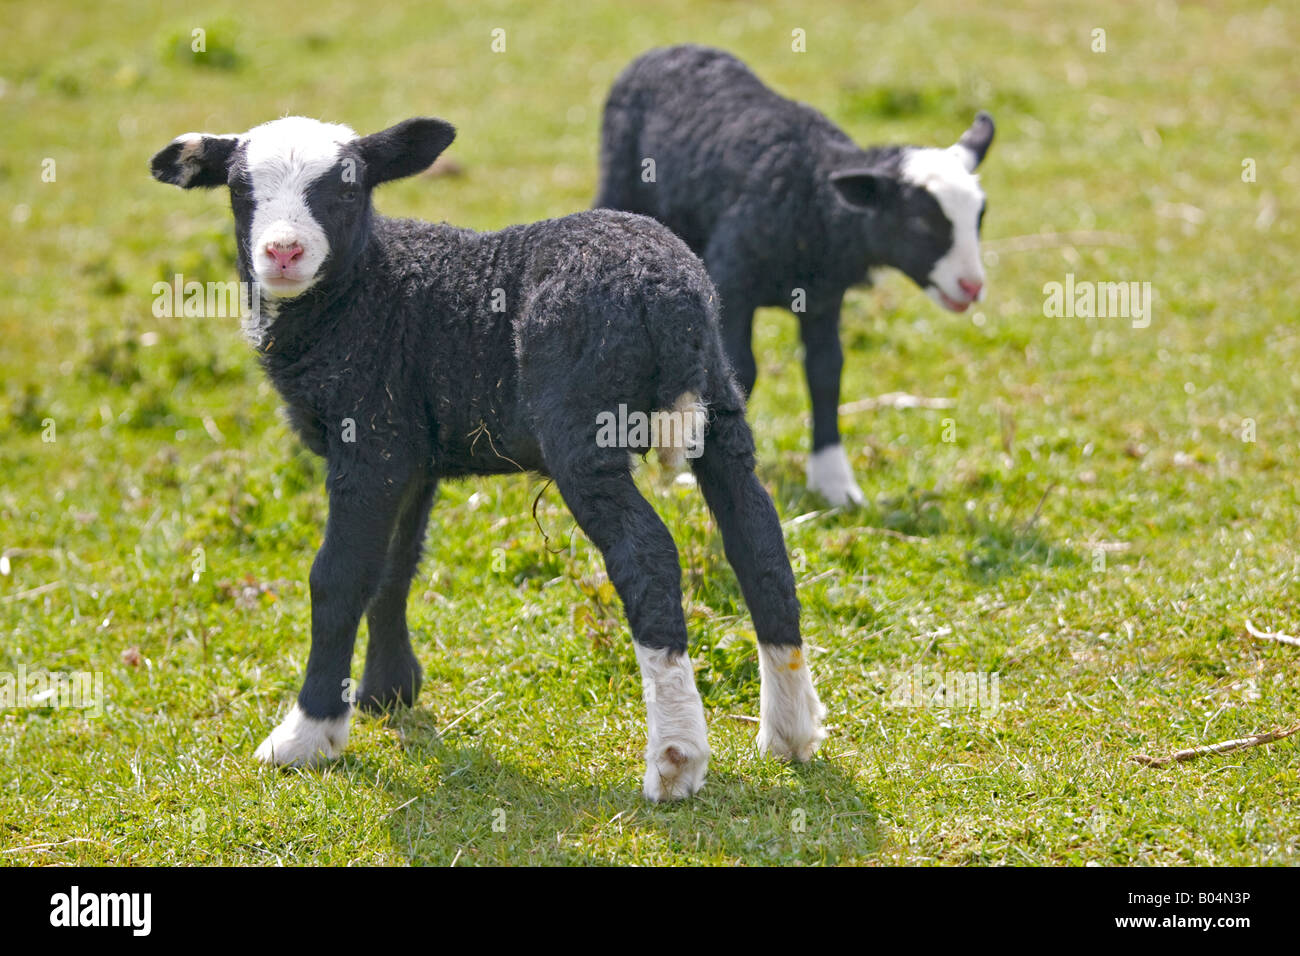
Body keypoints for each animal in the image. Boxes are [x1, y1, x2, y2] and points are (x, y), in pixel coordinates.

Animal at [149, 115, 825, 801]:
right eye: (239, 191)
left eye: (348, 189)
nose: (283, 253)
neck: (371, 292)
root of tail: (668, 292)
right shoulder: (410, 453)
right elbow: (393, 567)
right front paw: (386, 693)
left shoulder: (370, 439)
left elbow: (338, 576)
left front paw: (307, 734)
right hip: (720, 403)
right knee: (759, 540)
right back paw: (789, 729)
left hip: (581, 425)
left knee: (649, 554)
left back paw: (676, 755)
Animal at [596, 45, 995, 506]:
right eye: (919, 223)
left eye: (980, 217)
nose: (972, 286)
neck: (812, 194)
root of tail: (670, 49)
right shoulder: (733, 280)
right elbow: (741, 370)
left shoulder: (824, 298)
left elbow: (826, 371)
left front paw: (834, 481)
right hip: (621, 182)